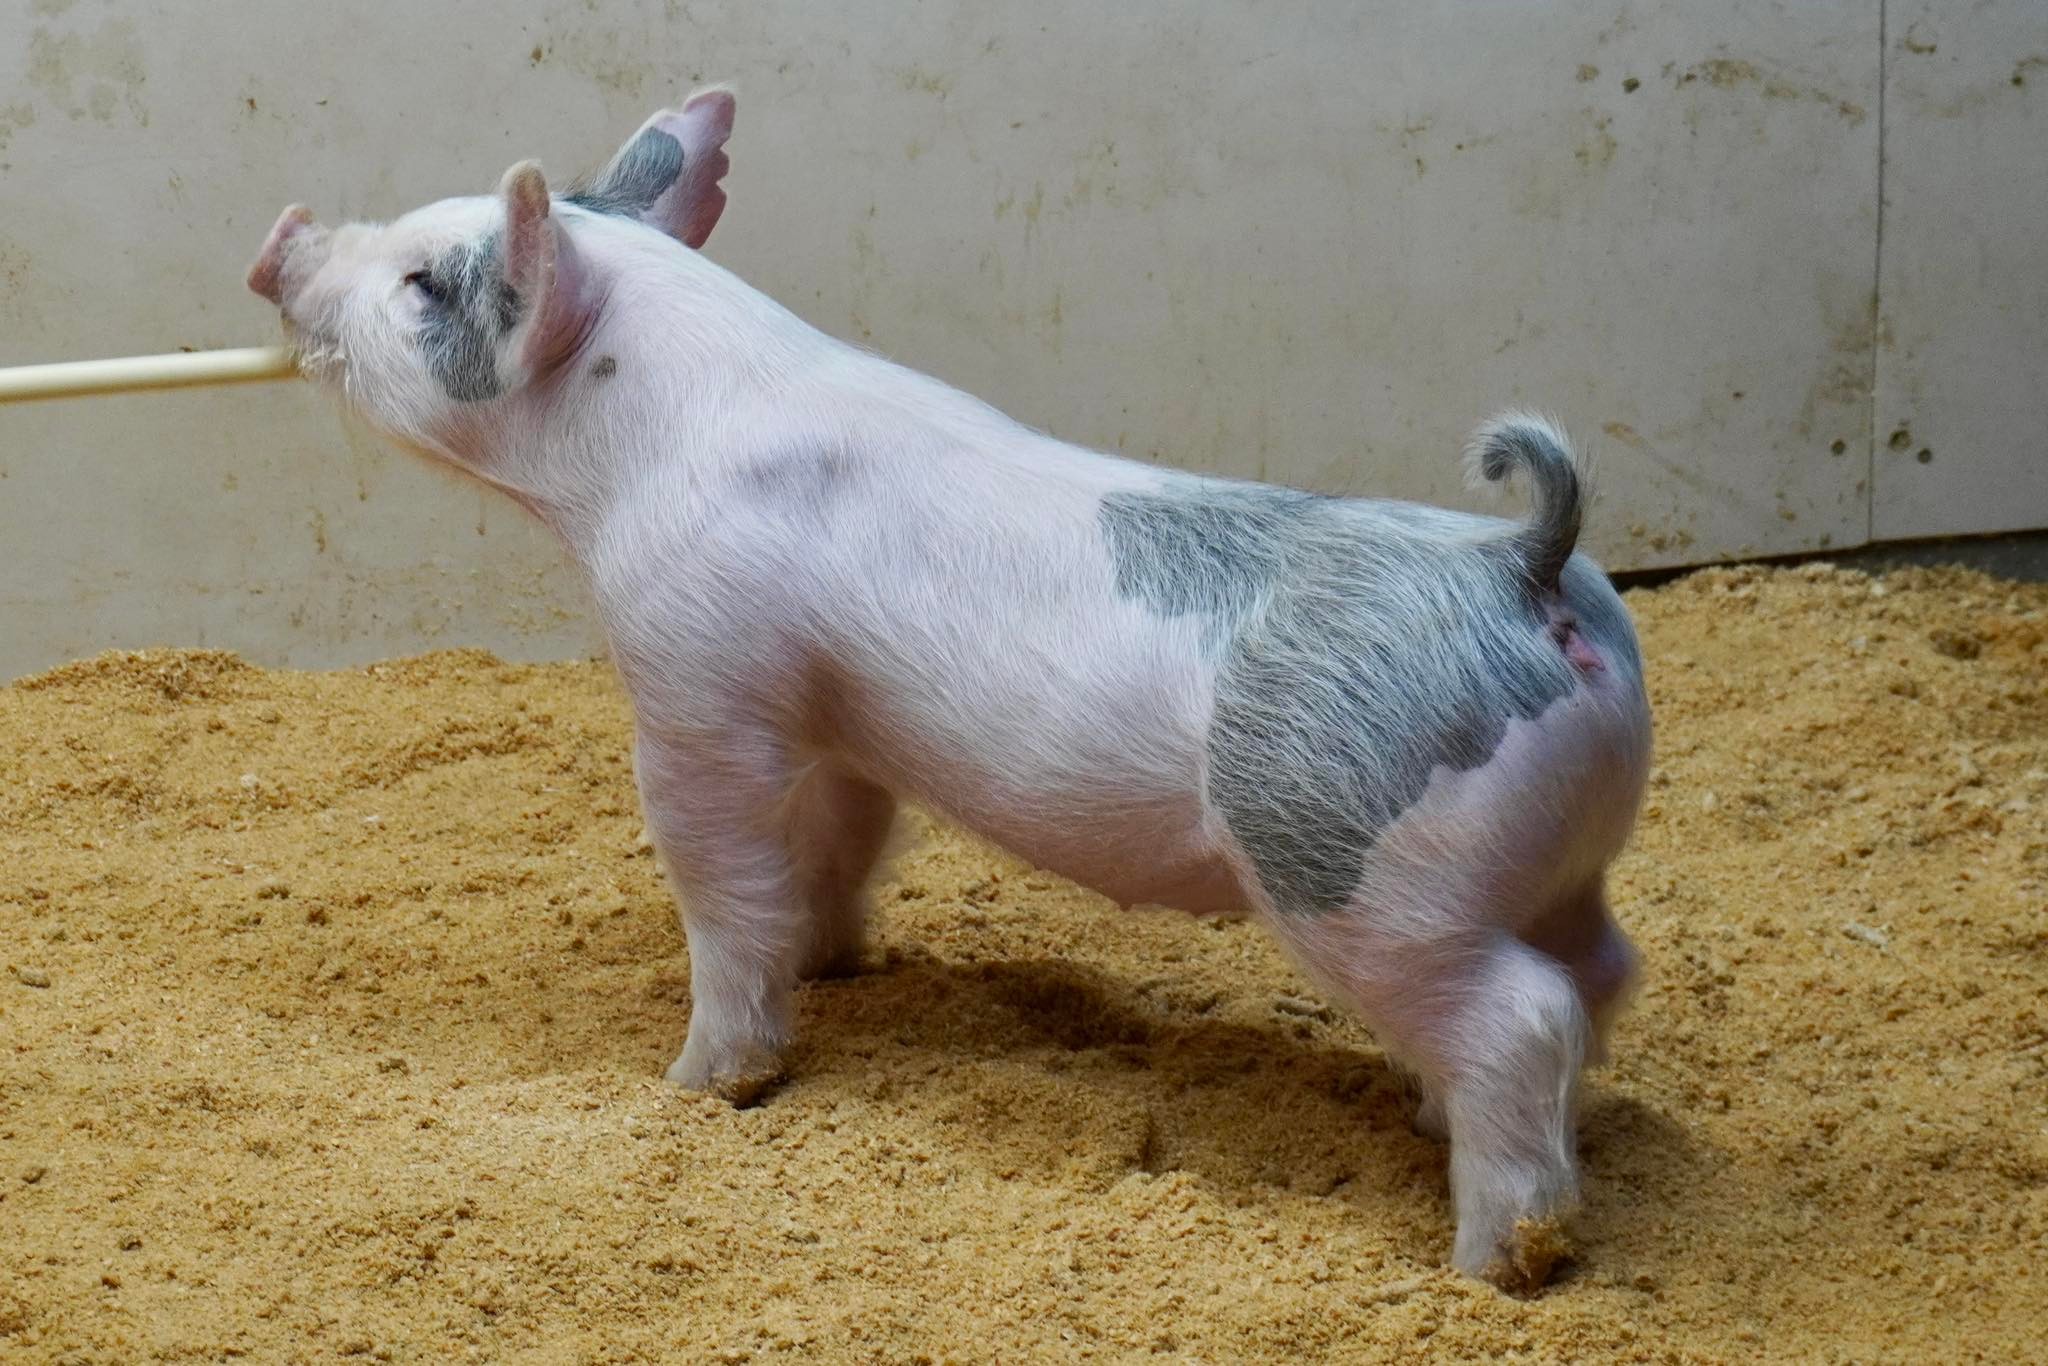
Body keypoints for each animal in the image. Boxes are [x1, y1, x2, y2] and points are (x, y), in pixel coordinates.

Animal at [247, 88, 1651, 1289]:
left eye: (424, 282)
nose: (284, 236)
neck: (634, 450)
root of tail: (1516, 565)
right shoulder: (834, 724)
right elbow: (831, 846)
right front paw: (831, 970)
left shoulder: (698, 680)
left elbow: (722, 881)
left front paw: (705, 1082)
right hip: (1552, 864)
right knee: (1599, 972)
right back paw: (1443, 1123)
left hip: (1353, 863)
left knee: (1523, 1016)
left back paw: (1490, 1261)